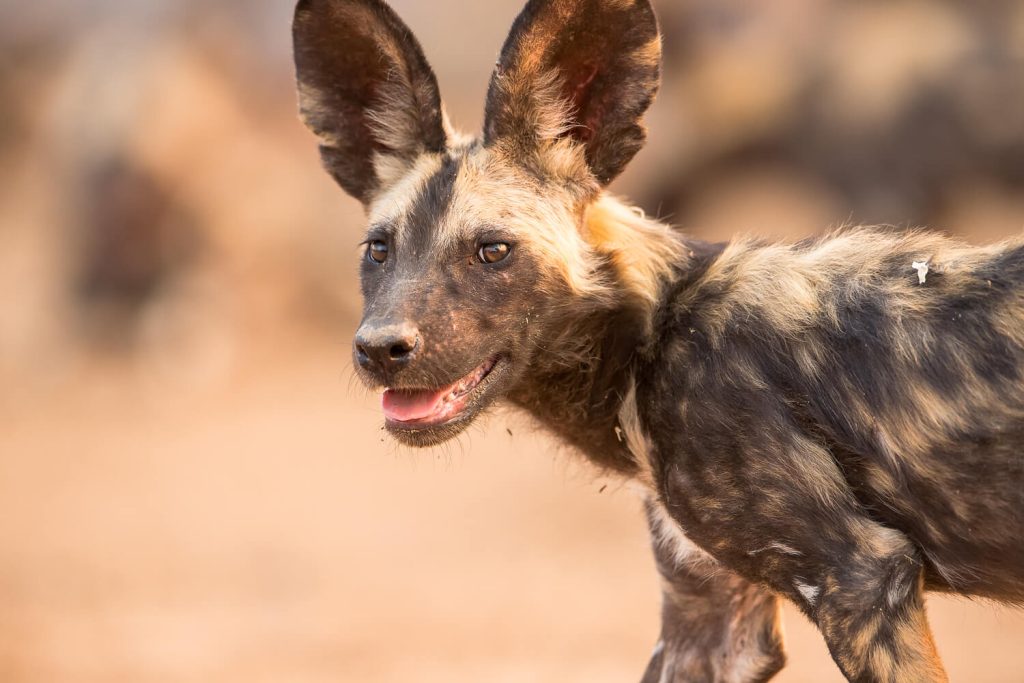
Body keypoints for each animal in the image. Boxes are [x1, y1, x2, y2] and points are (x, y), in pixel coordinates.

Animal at [292, 0, 1024, 680]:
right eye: (379, 250)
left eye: (492, 251)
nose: (380, 349)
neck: (655, 330)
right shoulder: (710, 617)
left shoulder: (862, 576)